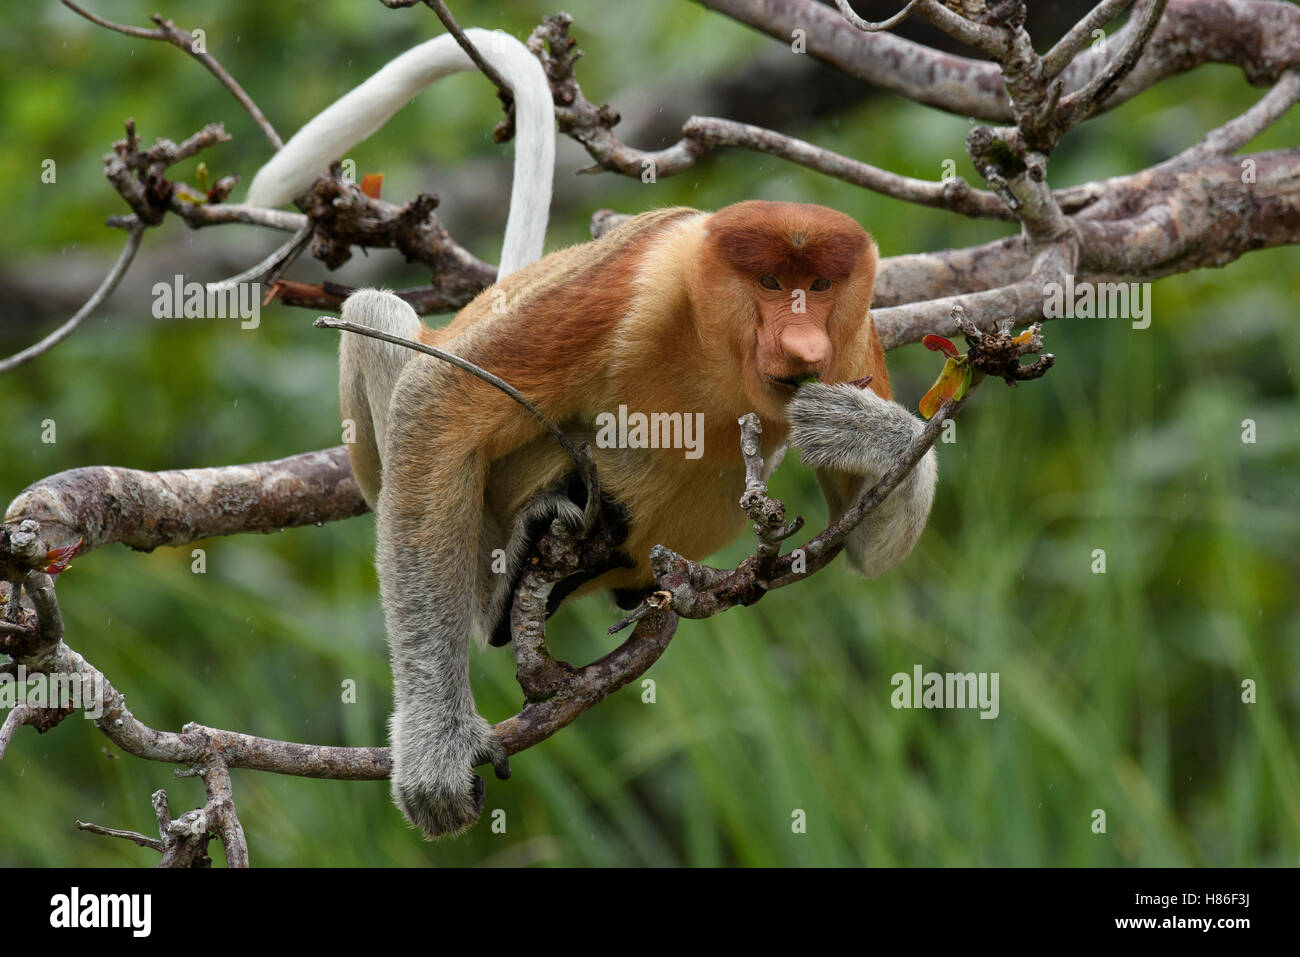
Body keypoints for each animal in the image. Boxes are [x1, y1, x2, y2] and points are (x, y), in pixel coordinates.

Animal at [248, 35, 937, 840]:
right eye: (770, 283)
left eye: (820, 287)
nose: (801, 344)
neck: (713, 342)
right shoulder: (640, 281)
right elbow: (438, 402)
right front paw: (434, 747)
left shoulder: (853, 338)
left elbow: (866, 549)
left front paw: (864, 427)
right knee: (376, 315)